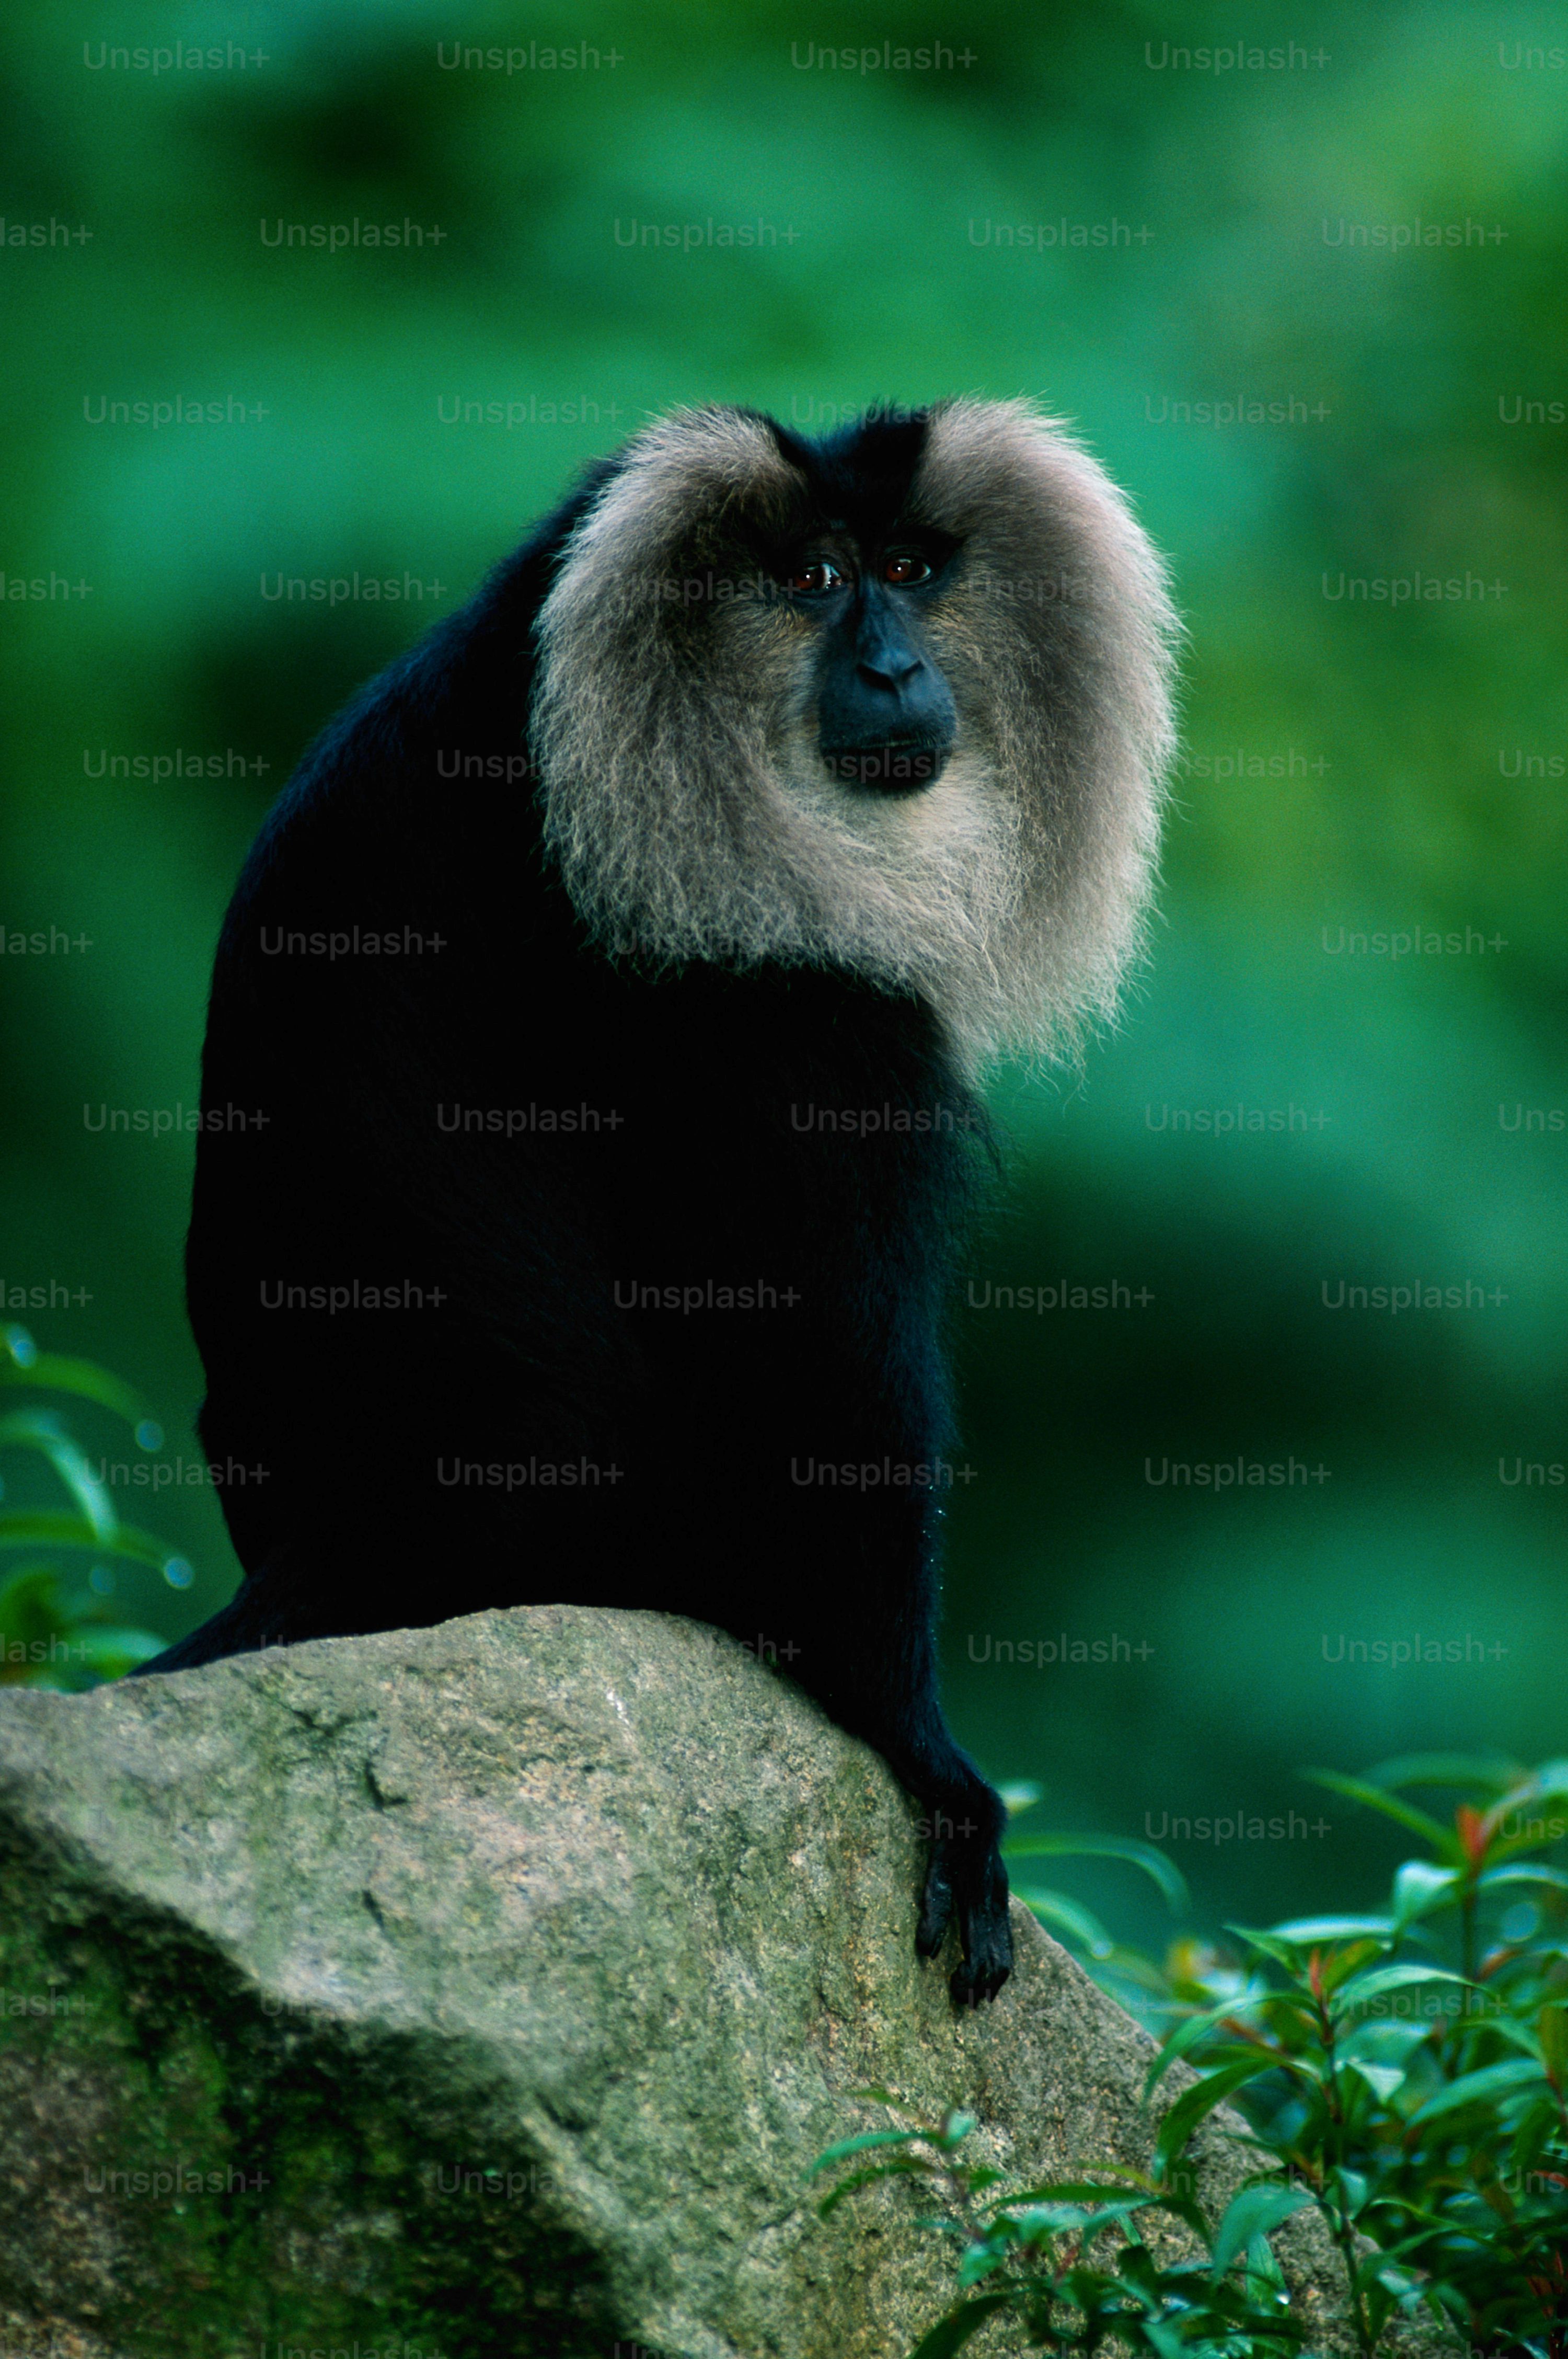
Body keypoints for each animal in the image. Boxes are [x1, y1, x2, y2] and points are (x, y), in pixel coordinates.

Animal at [133, 401, 1176, 2007]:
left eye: (910, 569)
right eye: (811, 579)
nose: (895, 667)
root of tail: (348, 1548)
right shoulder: (772, 995)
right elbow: (821, 1384)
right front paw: (934, 1771)